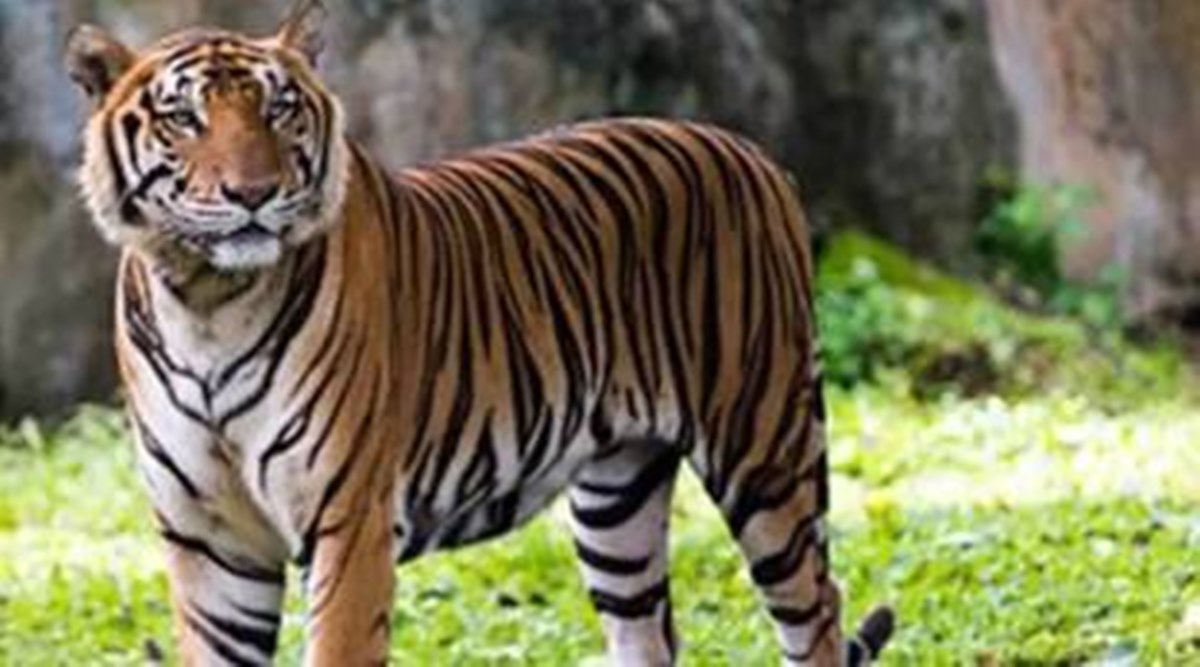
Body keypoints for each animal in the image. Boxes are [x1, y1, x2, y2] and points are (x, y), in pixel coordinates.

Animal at [64, 1, 894, 665]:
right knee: (651, 632)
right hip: (618, 500)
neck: (206, 302)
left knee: (818, 609)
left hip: (766, 450)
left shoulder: (348, 520)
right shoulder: (210, 542)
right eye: (185, 117)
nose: (254, 194)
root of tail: (751, 151)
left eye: (279, 111)